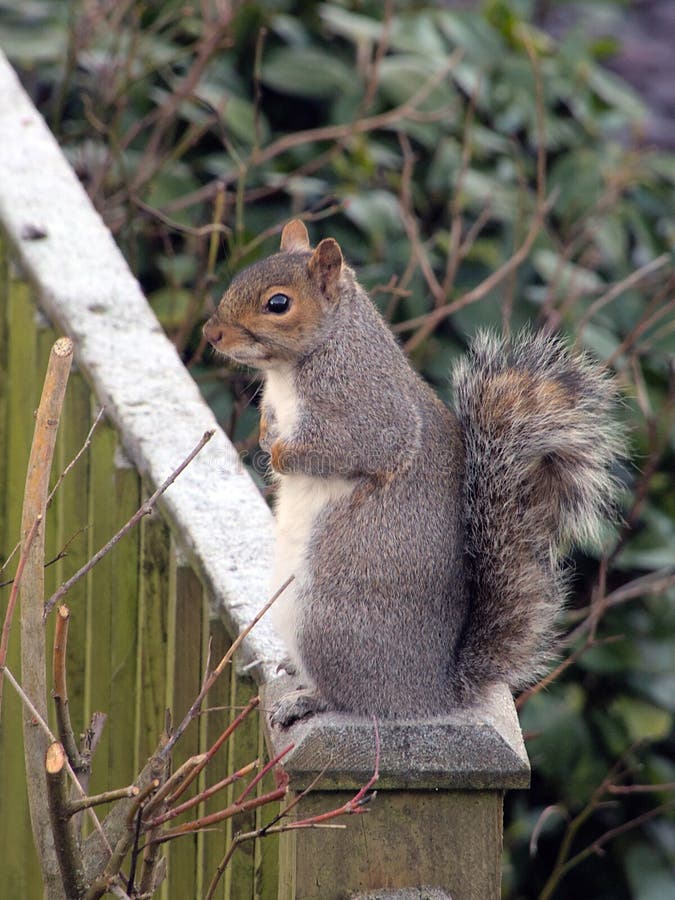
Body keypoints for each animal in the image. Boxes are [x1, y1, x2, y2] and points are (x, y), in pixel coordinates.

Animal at [203, 219, 623, 726]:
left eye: (278, 304)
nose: (211, 333)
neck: (295, 367)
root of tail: (430, 690)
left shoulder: (369, 415)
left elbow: (347, 449)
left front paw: (280, 455)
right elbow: (270, 419)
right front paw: (267, 435)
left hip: (328, 619)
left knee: (354, 698)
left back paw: (309, 699)